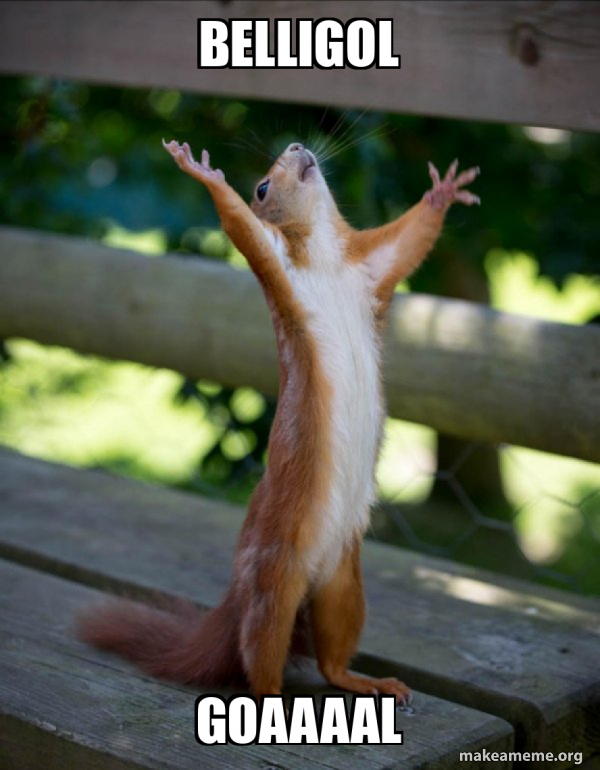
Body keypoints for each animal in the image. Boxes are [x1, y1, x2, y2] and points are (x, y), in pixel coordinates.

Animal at [77, 138, 480, 705]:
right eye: (262, 187)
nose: (296, 146)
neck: (327, 259)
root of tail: (238, 594)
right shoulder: (277, 264)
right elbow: (240, 226)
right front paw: (203, 173)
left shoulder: (372, 267)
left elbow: (410, 240)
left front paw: (442, 192)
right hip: (273, 583)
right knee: (259, 657)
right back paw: (273, 697)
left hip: (344, 585)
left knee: (332, 658)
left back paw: (367, 680)